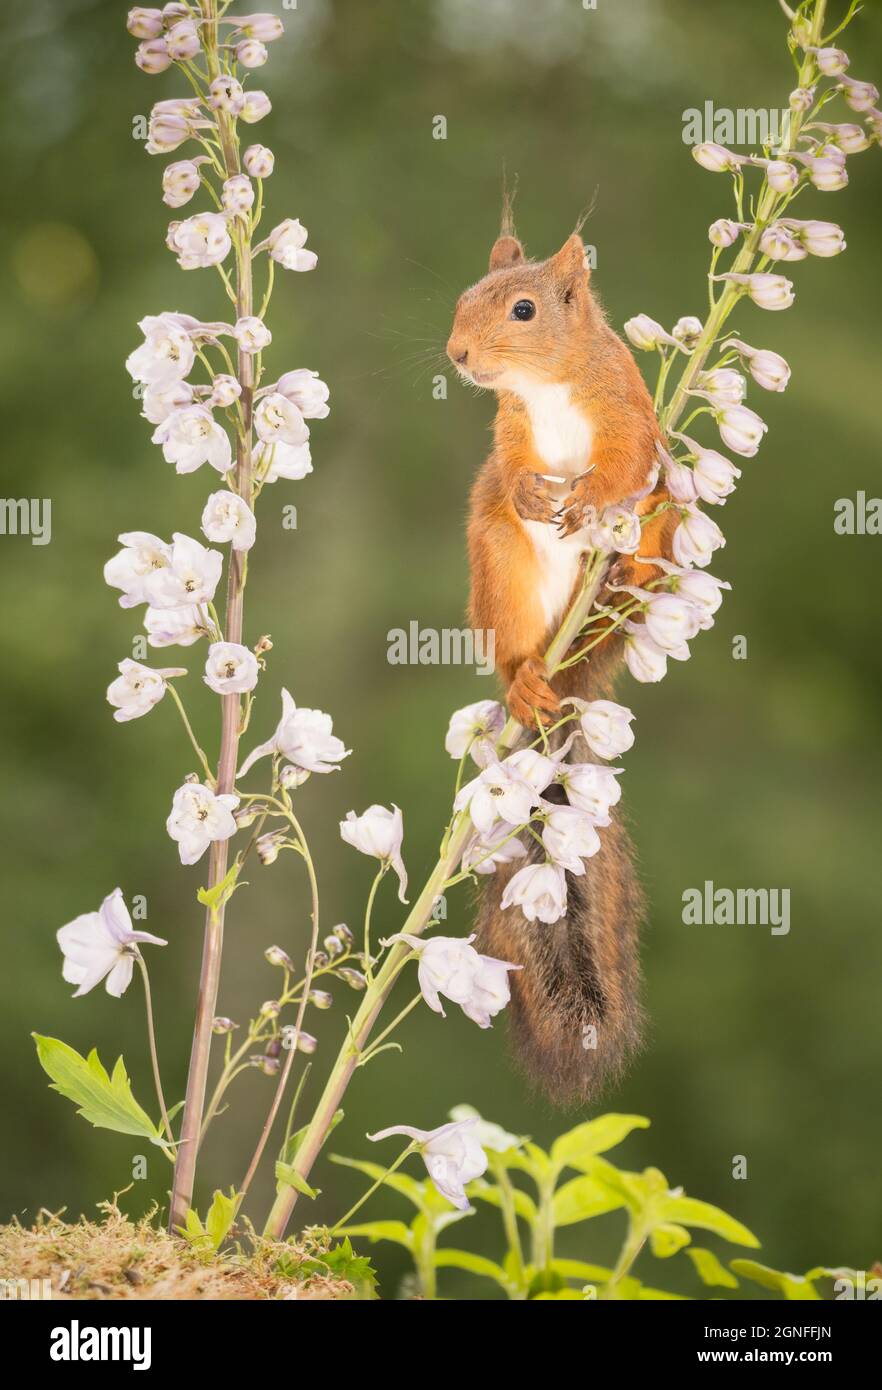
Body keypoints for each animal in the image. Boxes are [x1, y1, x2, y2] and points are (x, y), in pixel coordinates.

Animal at [446, 219, 678, 1104]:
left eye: (523, 308)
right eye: (461, 299)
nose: (457, 355)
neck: (543, 384)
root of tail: (575, 670)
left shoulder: (630, 410)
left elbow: (626, 459)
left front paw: (584, 499)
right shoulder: (510, 431)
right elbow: (514, 467)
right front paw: (536, 493)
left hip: (662, 525)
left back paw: (628, 575)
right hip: (500, 572)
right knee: (517, 649)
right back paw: (525, 683)